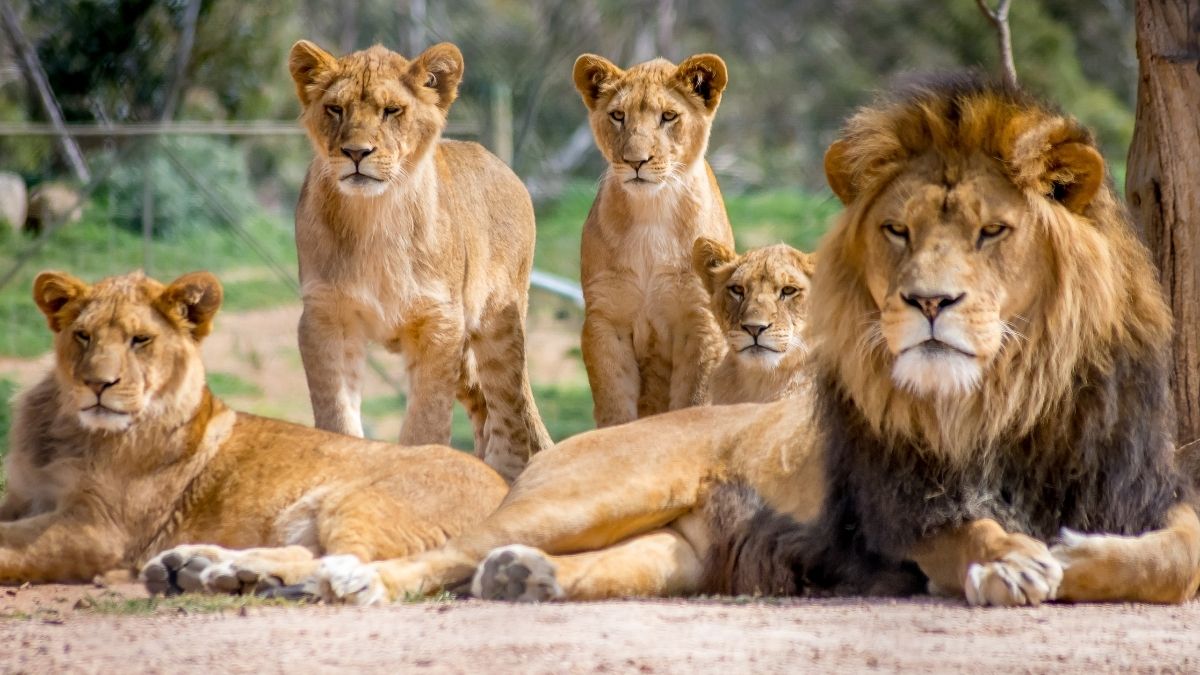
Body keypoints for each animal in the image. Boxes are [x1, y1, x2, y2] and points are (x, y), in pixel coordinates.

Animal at [0, 269, 506, 590]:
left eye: (139, 340)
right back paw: (202, 568)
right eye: (83, 336)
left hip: (360, 501)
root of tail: (505, 487)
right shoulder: (23, 496)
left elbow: (9, 545)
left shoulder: (99, 528)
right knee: (311, 554)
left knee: (345, 560)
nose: (98, 384)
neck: (69, 429)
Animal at [289, 40, 550, 481]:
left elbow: (425, 422)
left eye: (392, 111)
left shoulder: (439, 322)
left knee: (509, 412)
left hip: (498, 323)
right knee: (484, 408)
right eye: (335, 109)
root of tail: (504, 167)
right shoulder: (325, 317)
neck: (373, 217)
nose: (356, 152)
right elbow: (337, 415)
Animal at [574, 53, 735, 427]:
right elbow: (615, 405)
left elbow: (694, 402)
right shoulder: (606, 320)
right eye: (618, 115)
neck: (652, 211)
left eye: (668, 116)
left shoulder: (701, 322)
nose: (636, 162)